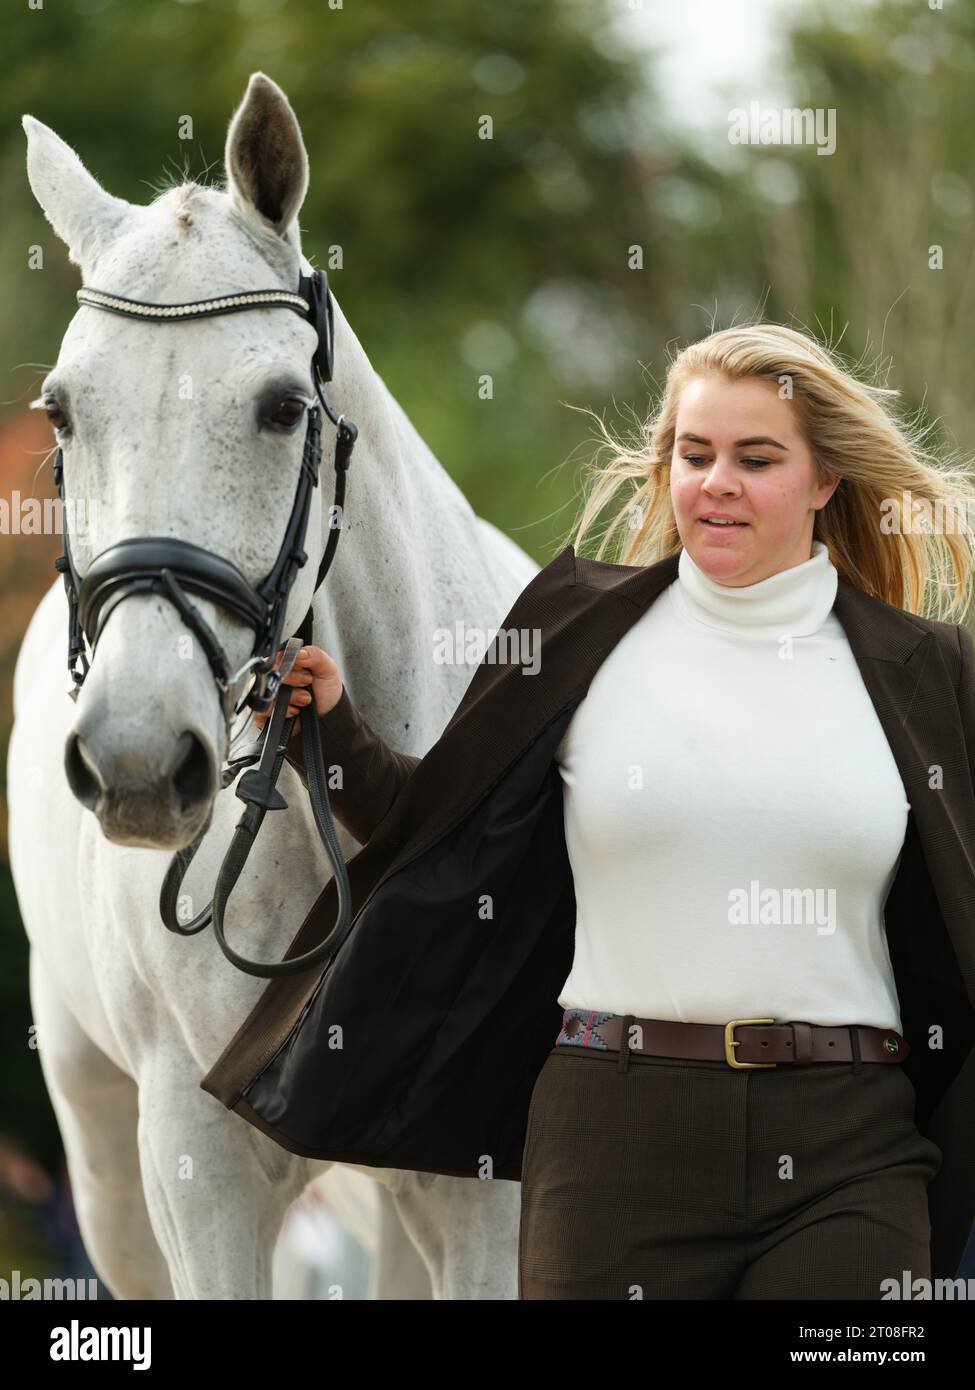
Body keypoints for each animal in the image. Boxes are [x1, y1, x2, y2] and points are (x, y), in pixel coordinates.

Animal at [7, 71, 537, 1299]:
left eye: (283, 407)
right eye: (63, 413)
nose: (139, 761)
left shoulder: (479, 1184)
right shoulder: (195, 1165)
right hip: (103, 1156)